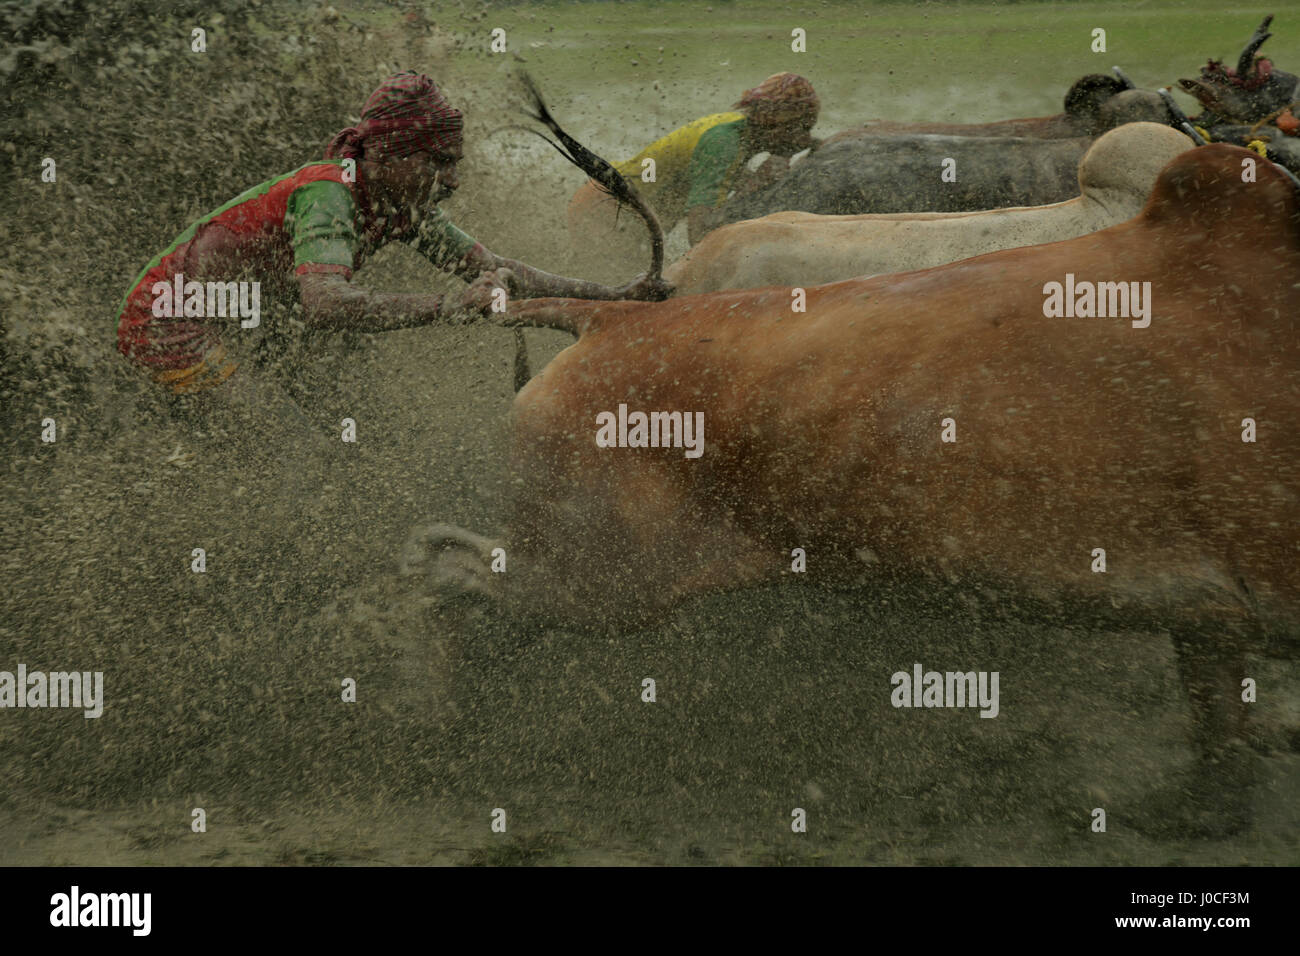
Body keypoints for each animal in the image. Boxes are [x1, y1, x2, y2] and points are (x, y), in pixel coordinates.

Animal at [403, 144, 1299, 836]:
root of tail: (610, 321)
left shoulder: (1213, 612)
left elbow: (1221, 725)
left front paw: (1204, 812)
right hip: (604, 578)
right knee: (440, 570)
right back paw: (435, 725)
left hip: (588, 571)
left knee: (458, 577)